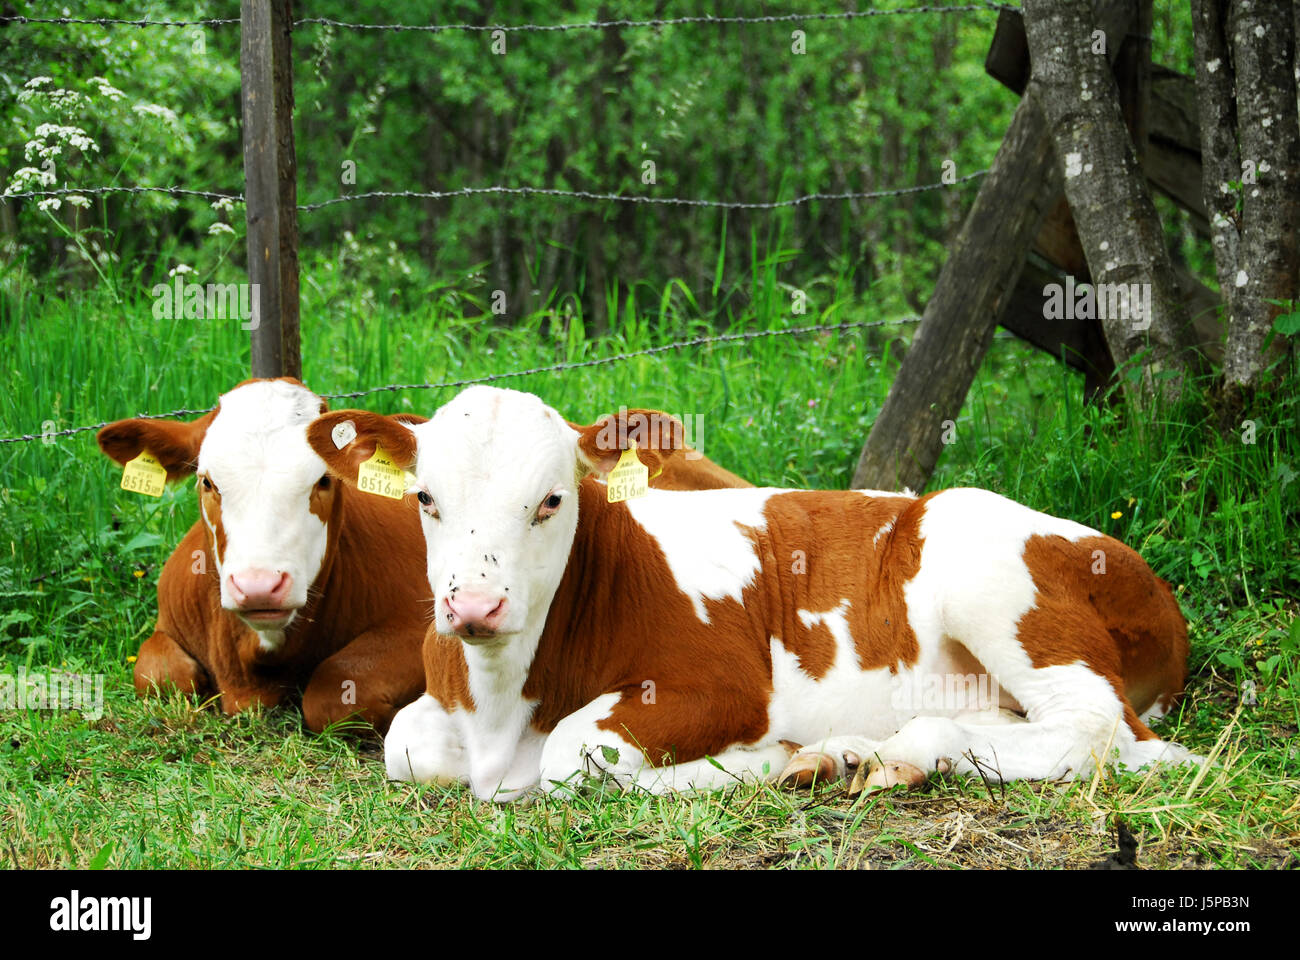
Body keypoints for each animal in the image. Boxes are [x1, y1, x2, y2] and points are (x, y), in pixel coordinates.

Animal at [305, 385, 1199, 800]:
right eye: (425, 499)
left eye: (551, 500)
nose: (474, 608)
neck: (502, 708)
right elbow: (403, 744)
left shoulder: (725, 683)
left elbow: (576, 752)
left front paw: (765, 762)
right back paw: (874, 752)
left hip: (984, 567)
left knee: (1102, 734)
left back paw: (887, 751)